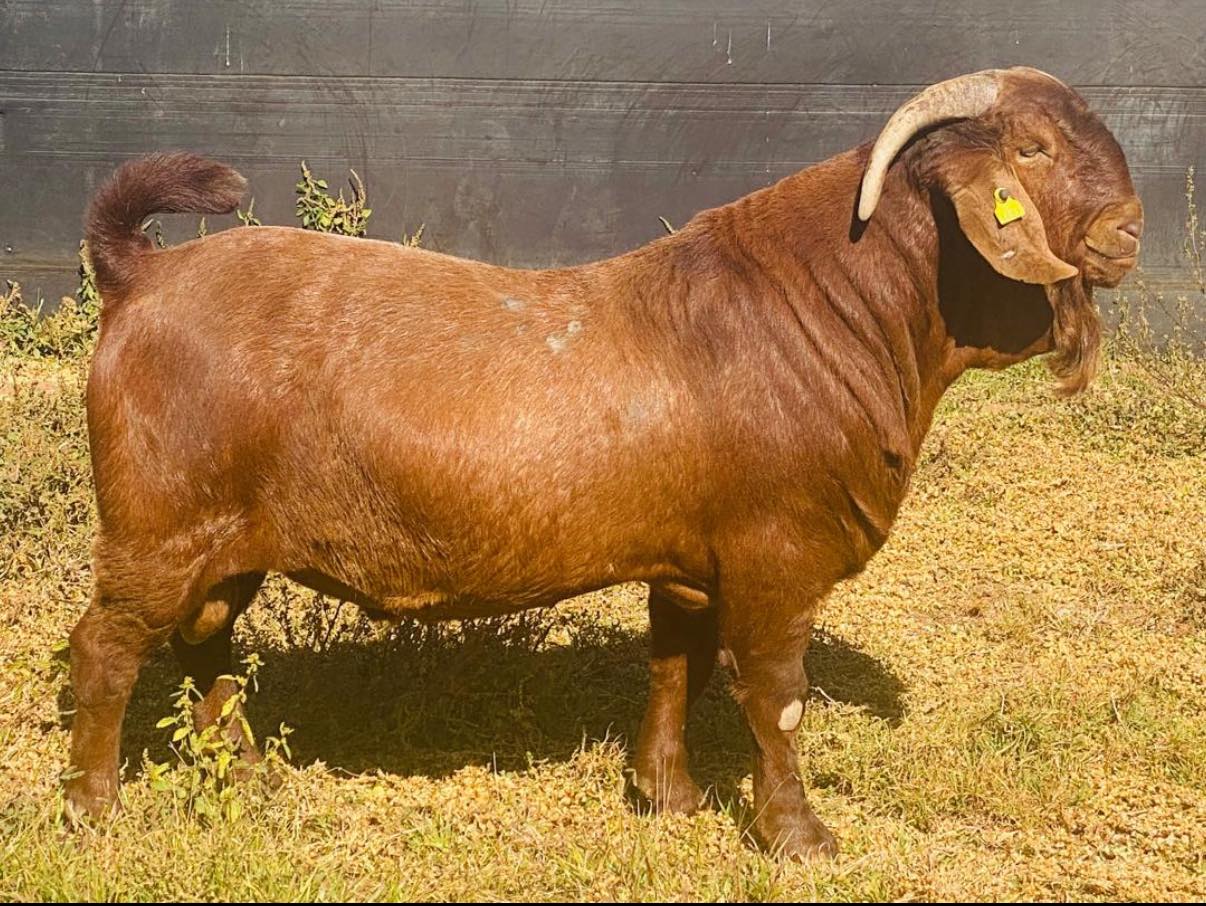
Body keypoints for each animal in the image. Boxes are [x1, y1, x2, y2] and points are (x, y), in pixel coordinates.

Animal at [65, 67, 1141, 858]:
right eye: (1031, 150)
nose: (1129, 230)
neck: (825, 307)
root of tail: (138, 275)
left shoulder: (694, 560)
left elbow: (677, 665)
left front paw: (669, 797)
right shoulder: (776, 554)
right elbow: (777, 698)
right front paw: (799, 839)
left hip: (224, 539)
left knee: (205, 643)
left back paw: (248, 776)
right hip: (160, 524)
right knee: (107, 646)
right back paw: (94, 811)